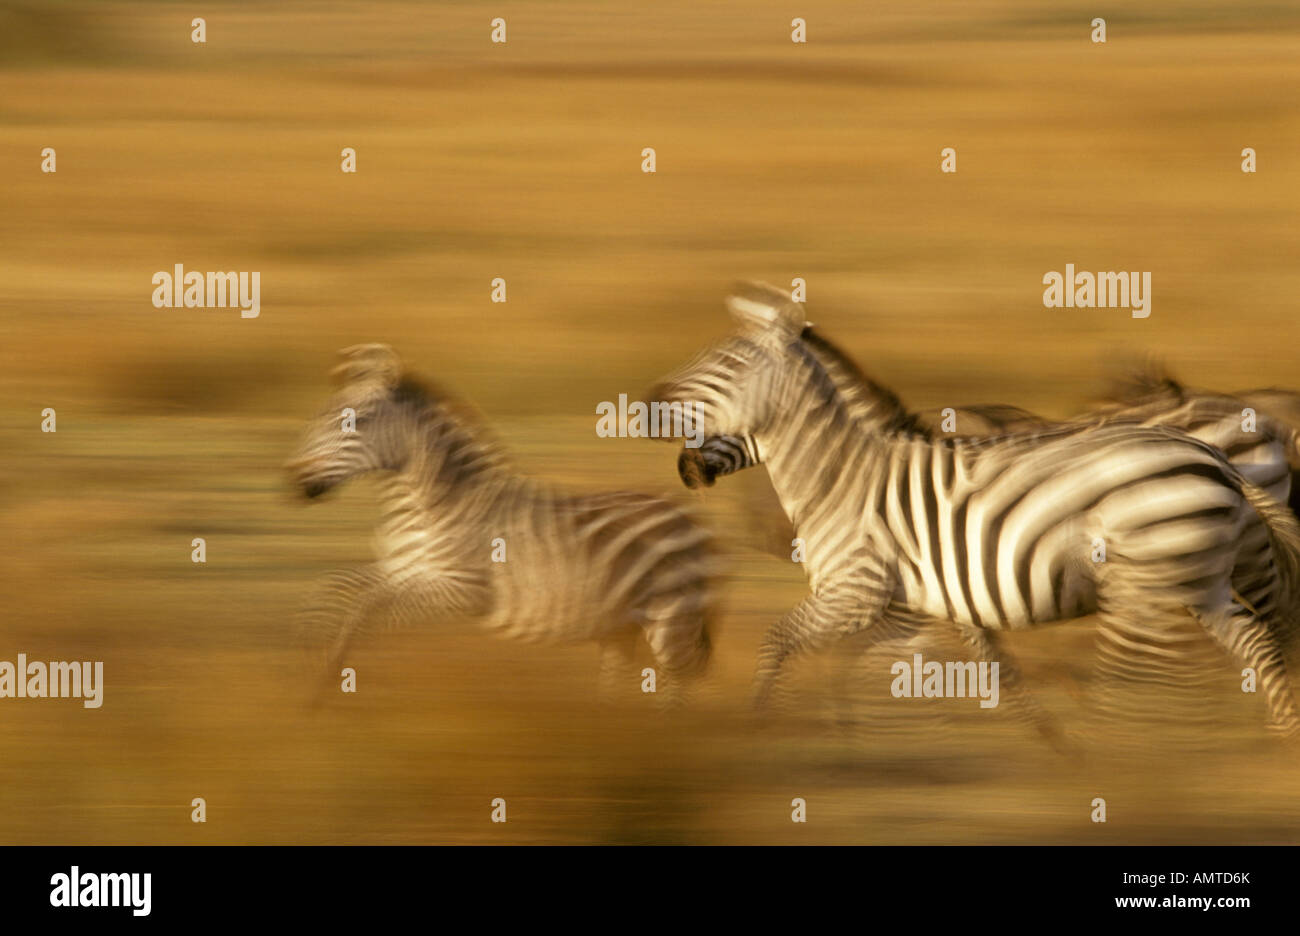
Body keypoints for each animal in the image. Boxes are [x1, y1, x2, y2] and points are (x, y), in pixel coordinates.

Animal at [285, 344, 718, 702]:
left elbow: (368, 605)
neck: (428, 506)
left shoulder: (462, 591)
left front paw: (328, 675)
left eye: (354, 421)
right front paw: (310, 648)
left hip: (671, 618)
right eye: (322, 417)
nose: (295, 482)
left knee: (677, 684)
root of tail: (689, 515)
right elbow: (337, 587)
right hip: (621, 627)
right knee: (625, 681)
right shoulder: (403, 568)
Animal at [649, 282, 1300, 743]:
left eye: (728, 365)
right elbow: (991, 669)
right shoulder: (925, 603)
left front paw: (762, 727)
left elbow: (784, 642)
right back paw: (1268, 737)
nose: (654, 403)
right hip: (1216, 572)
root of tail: (1220, 452)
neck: (848, 475)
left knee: (1175, 658)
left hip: (1168, 574)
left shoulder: (861, 593)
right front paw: (1046, 740)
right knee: (1260, 642)